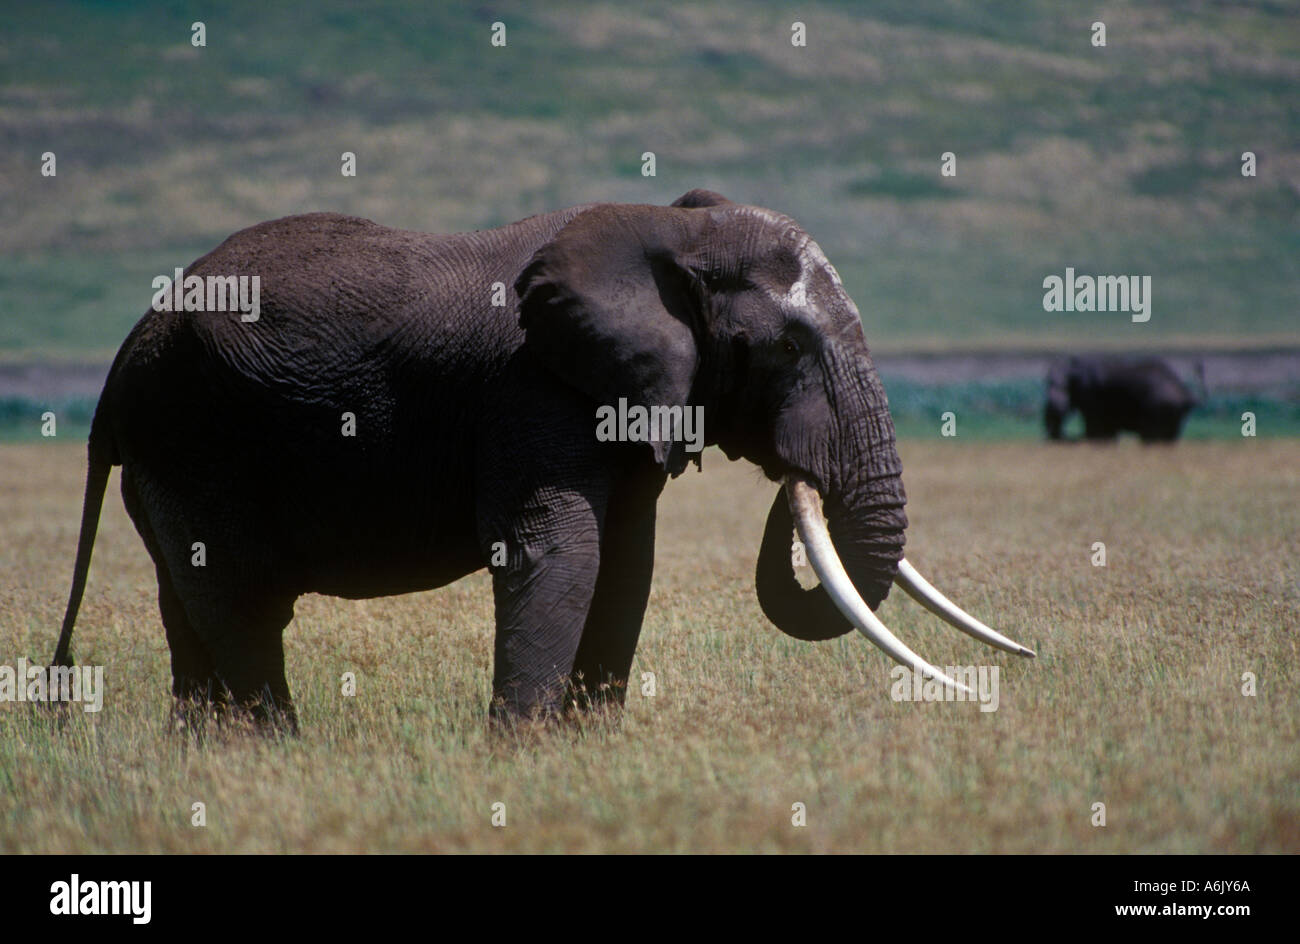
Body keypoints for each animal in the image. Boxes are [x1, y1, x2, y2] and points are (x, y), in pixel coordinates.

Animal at [50, 189, 1034, 730]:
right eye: (788, 348)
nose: (795, 474)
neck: (670, 229)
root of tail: (118, 362)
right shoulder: (531, 385)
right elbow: (559, 551)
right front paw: (515, 758)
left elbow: (627, 563)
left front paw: (583, 752)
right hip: (188, 434)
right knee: (240, 604)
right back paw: (277, 757)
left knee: (191, 605)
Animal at [1044, 355, 1203, 442]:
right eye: (1048, 382)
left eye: (1062, 387)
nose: (1071, 437)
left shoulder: (1092, 396)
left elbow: (1096, 430)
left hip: (1159, 406)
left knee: (1151, 437)